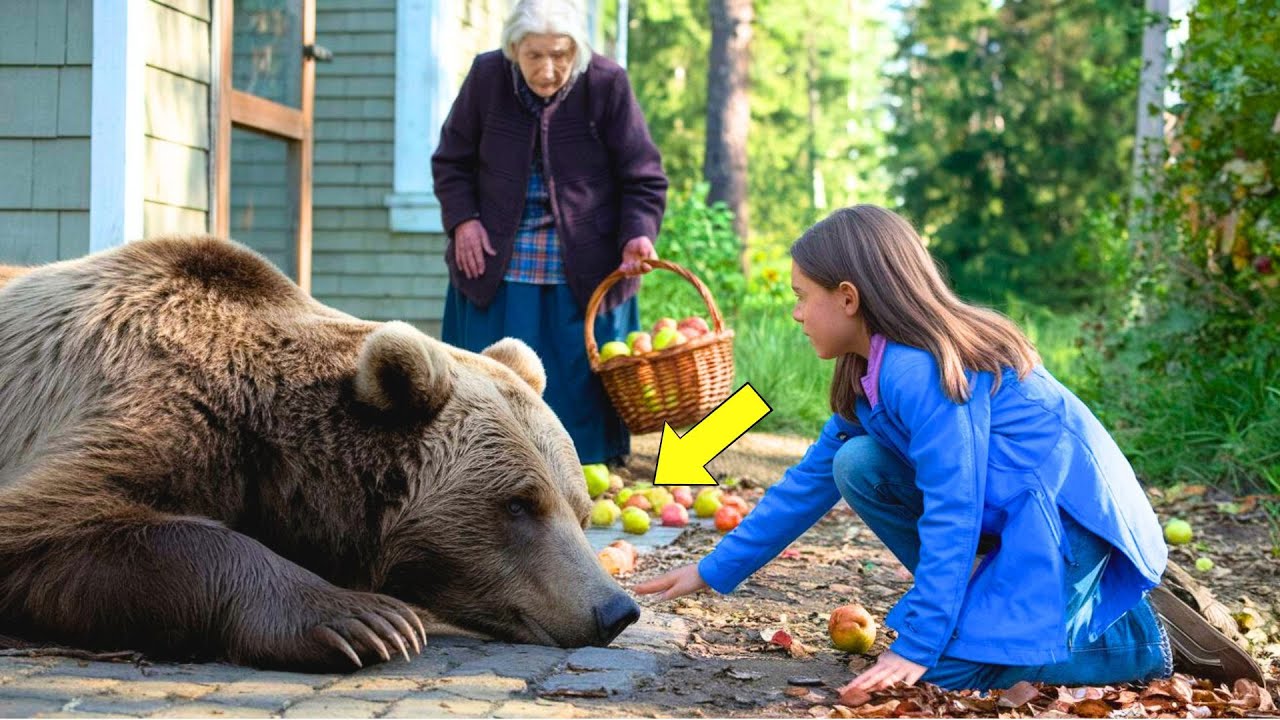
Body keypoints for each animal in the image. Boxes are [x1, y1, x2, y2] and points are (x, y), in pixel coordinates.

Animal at [0, 236, 640, 672]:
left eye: (581, 510)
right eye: (519, 505)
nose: (614, 610)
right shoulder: (140, 402)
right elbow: (49, 527)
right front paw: (366, 620)